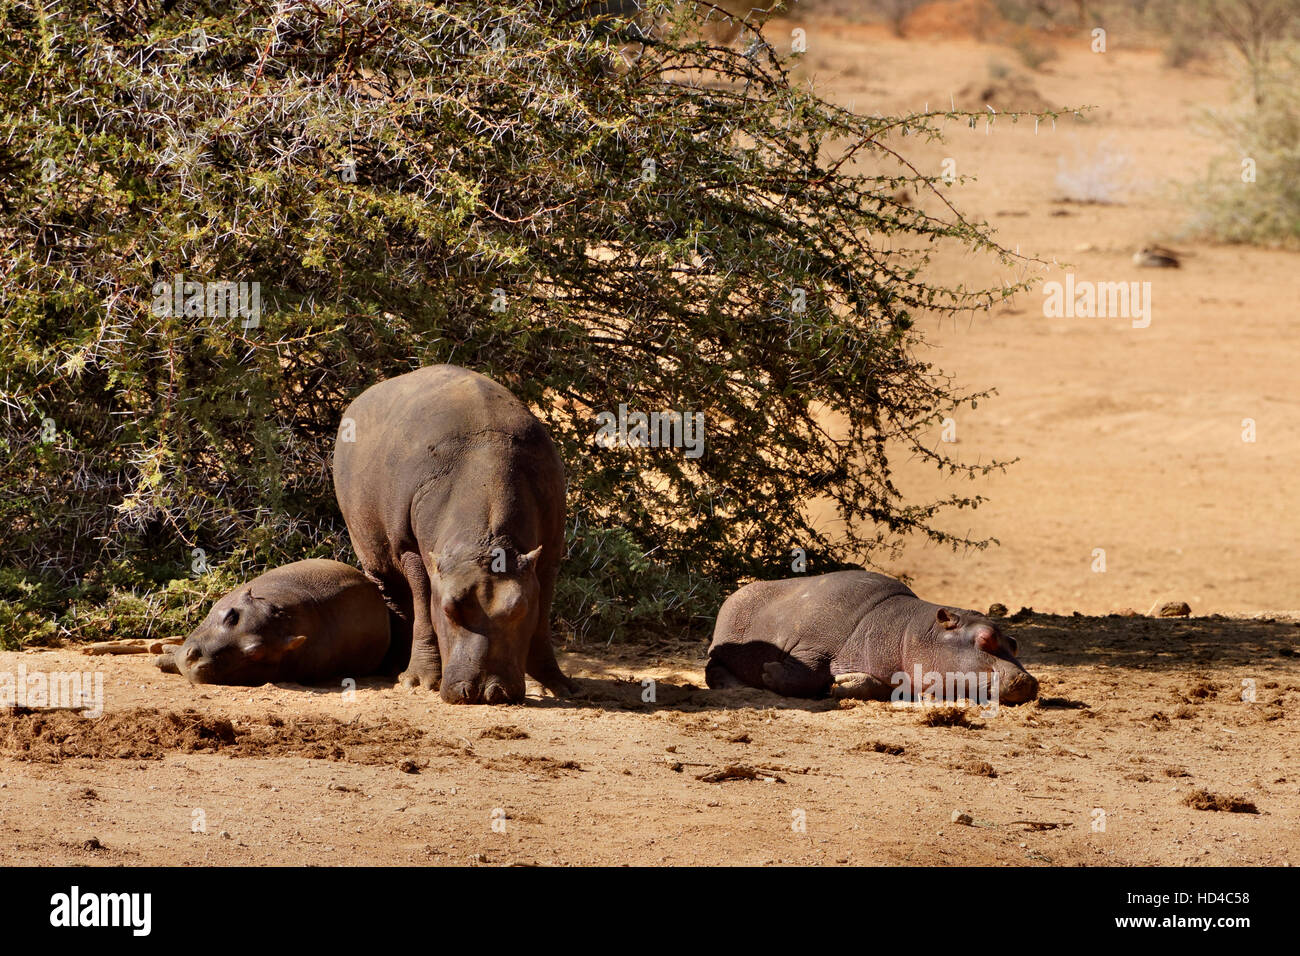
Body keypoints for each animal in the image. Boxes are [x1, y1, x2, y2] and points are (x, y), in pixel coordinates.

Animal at [332, 364, 574, 705]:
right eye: (449, 608)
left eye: (519, 607)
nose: (486, 690)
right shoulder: (410, 550)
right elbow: (423, 605)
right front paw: (419, 681)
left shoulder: (549, 552)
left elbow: (542, 619)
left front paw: (558, 686)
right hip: (369, 548)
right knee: (391, 591)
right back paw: (396, 669)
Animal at [706, 571, 1038, 705]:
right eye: (984, 638)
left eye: (1014, 643)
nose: (1028, 680)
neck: (907, 630)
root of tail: (734, 594)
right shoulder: (815, 642)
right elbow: (805, 671)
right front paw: (769, 672)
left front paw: (840, 685)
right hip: (721, 649)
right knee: (714, 669)